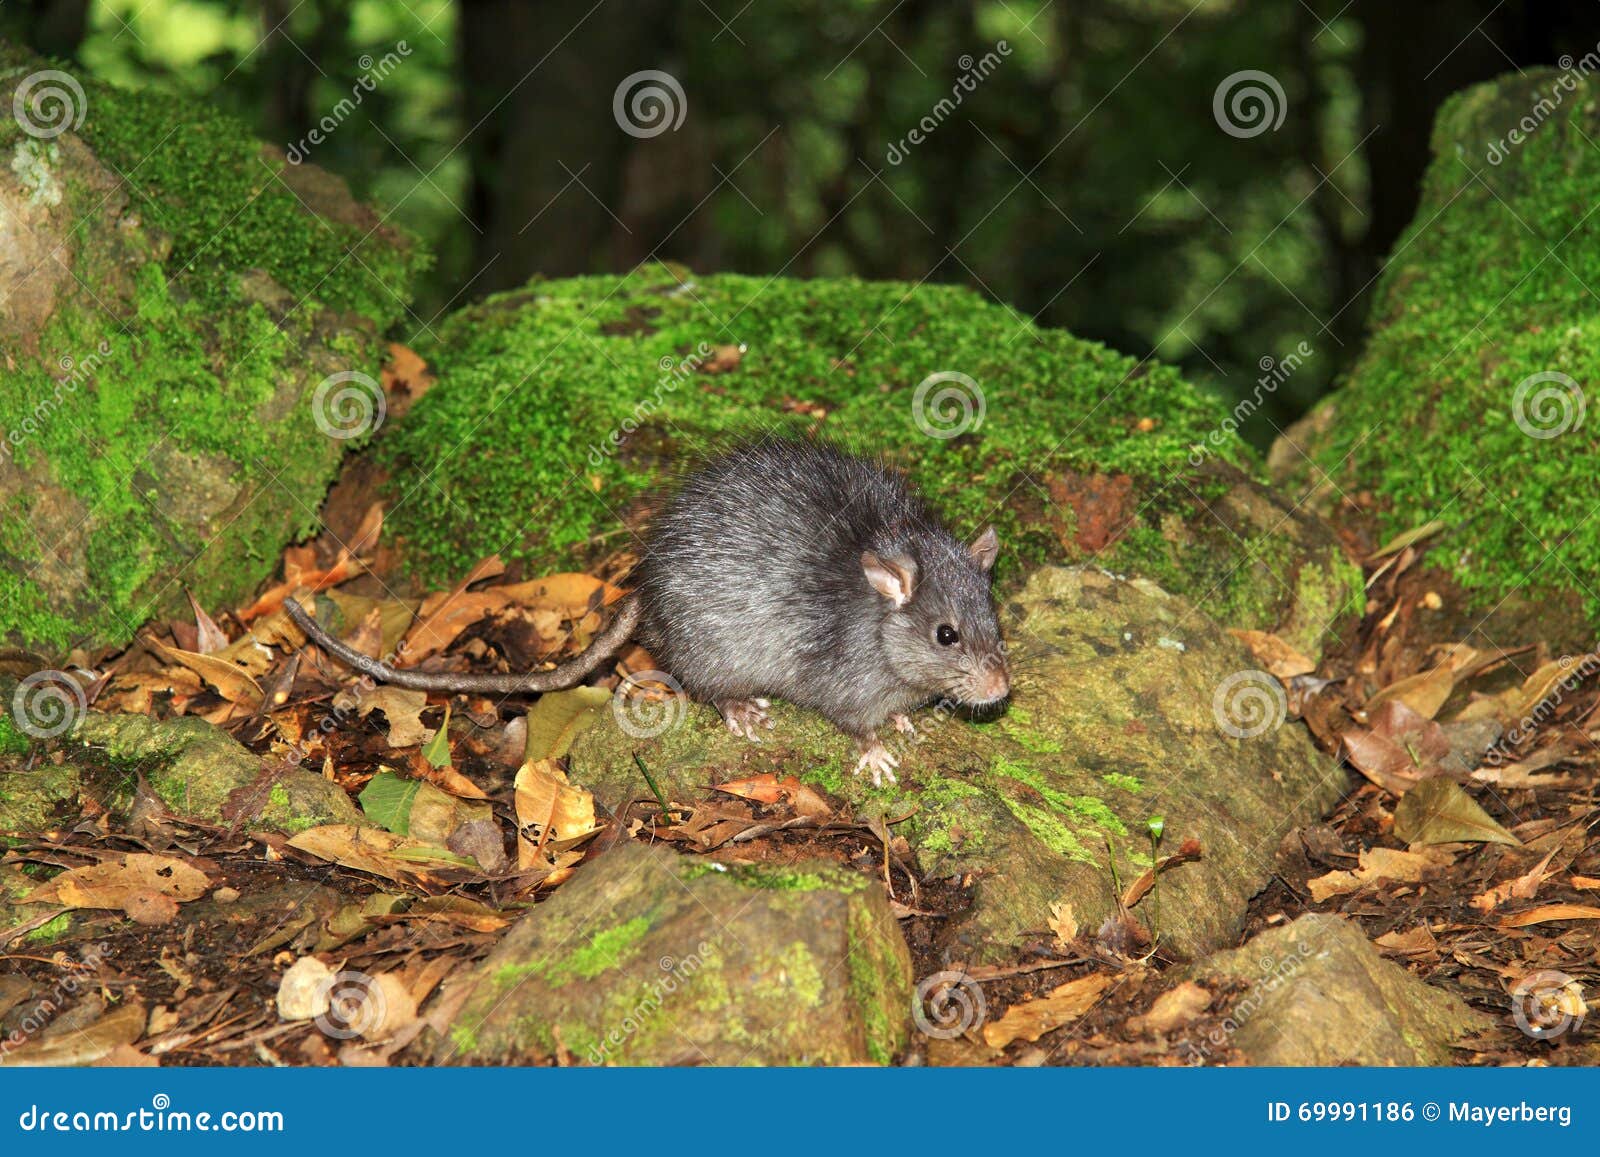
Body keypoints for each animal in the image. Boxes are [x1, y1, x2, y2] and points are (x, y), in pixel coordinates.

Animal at [286, 439, 1010, 785]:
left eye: (993, 619)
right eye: (946, 635)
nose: (1003, 689)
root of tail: (647, 590)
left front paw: (909, 722)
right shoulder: (844, 683)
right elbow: (856, 723)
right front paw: (877, 751)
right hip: (712, 653)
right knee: (703, 684)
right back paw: (742, 709)